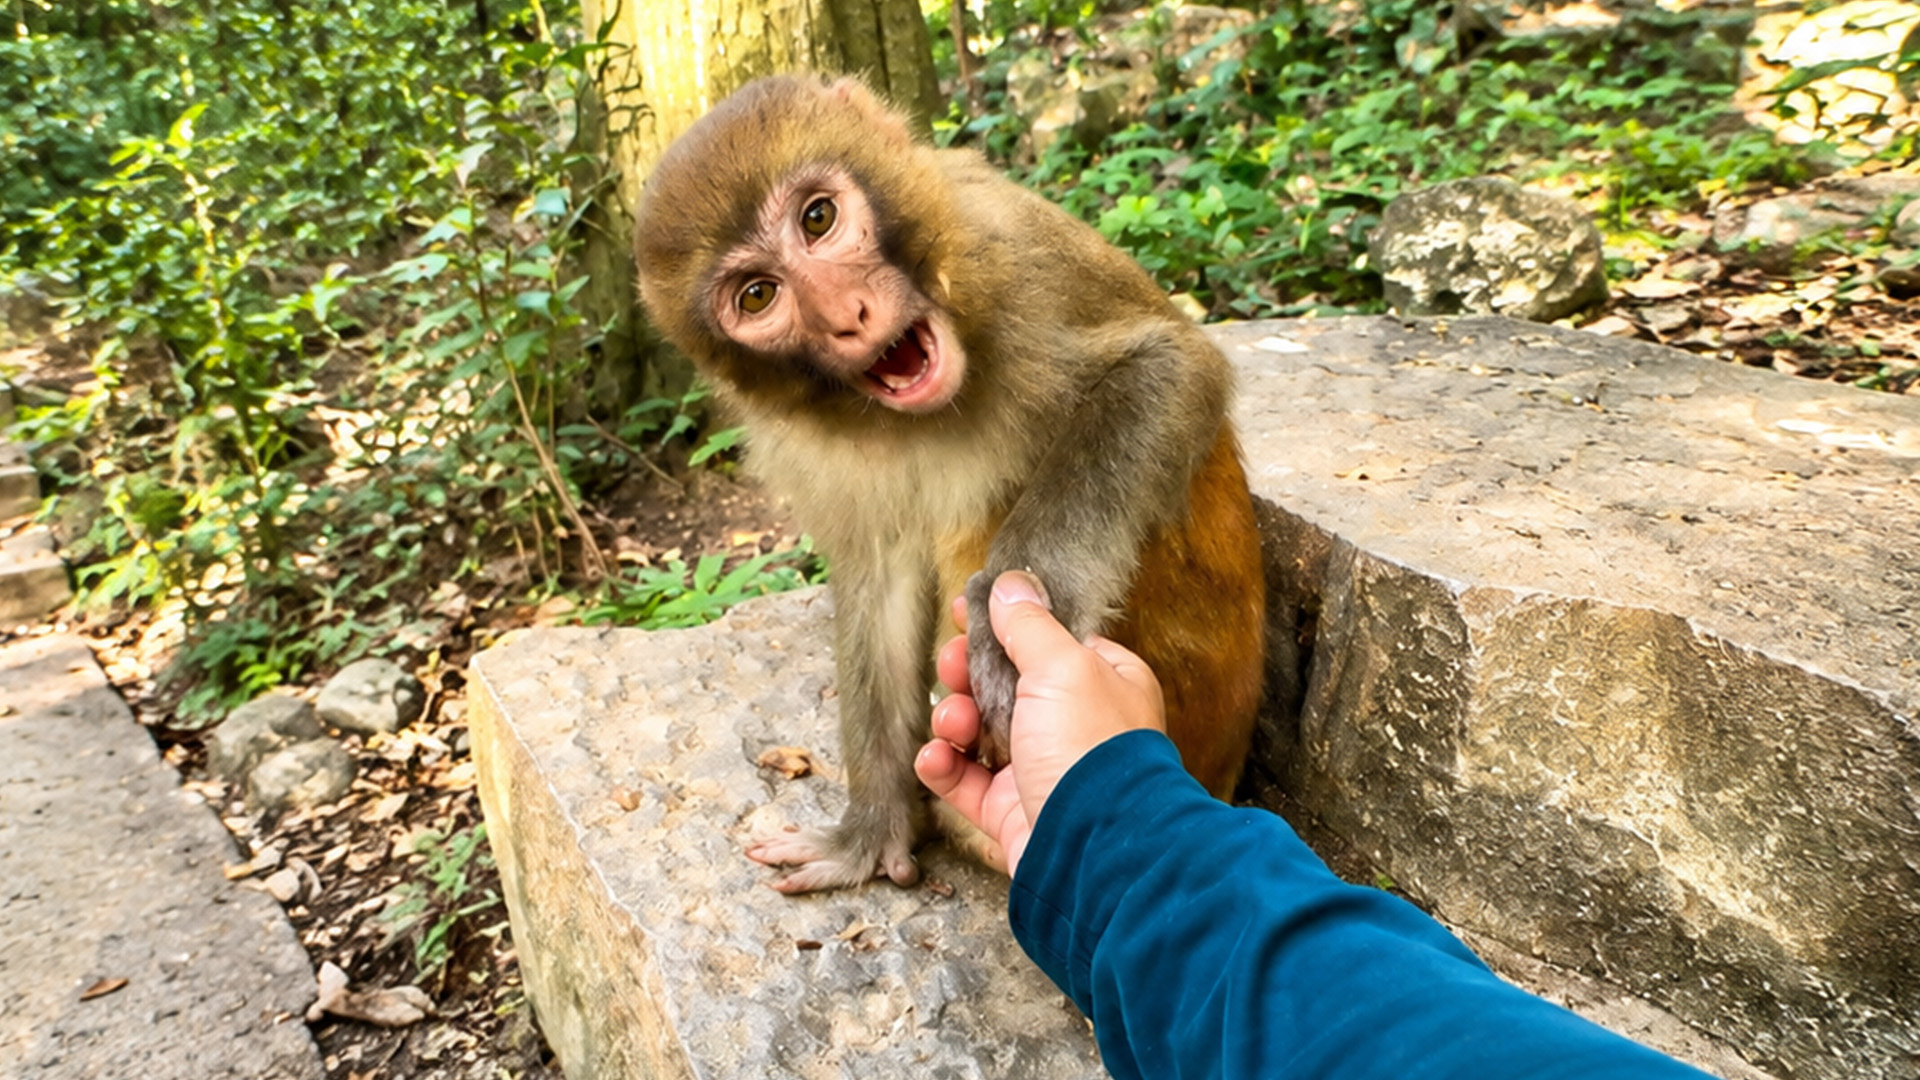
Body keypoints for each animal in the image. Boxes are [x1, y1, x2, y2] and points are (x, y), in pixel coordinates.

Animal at [633, 73, 1265, 894]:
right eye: (758, 297)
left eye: (818, 218)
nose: (847, 314)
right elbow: (879, 578)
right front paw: (872, 829)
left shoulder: (1011, 248)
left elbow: (1170, 368)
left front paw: (1014, 615)